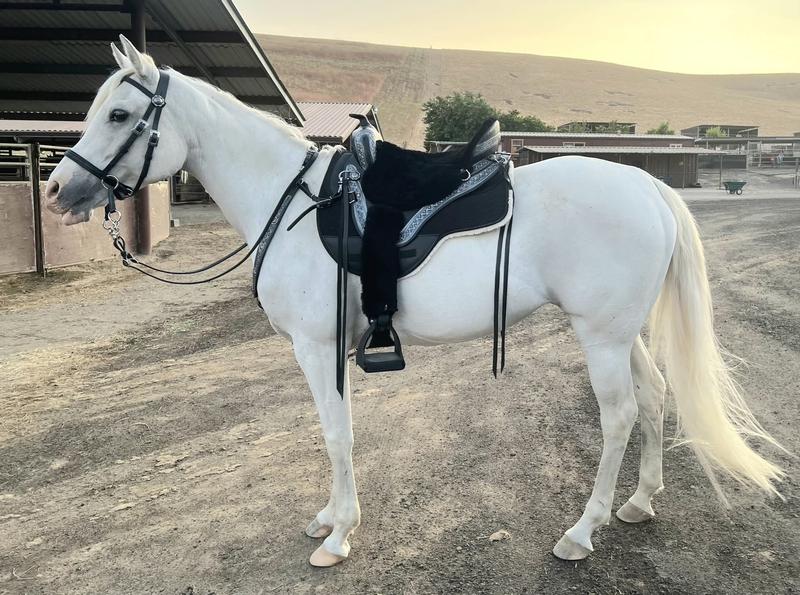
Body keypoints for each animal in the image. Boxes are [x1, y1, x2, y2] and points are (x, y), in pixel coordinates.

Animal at [44, 37, 783, 567]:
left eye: (118, 114)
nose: (56, 191)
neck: (289, 200)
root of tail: (650, 187)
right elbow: (335, 435)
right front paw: (330, 517)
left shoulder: (317, 349)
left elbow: (336, 435)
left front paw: (338, 535)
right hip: (620, 332)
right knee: (655, 397)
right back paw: (639, 503)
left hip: (601, 337)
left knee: (621, 416)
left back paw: (583, 530)